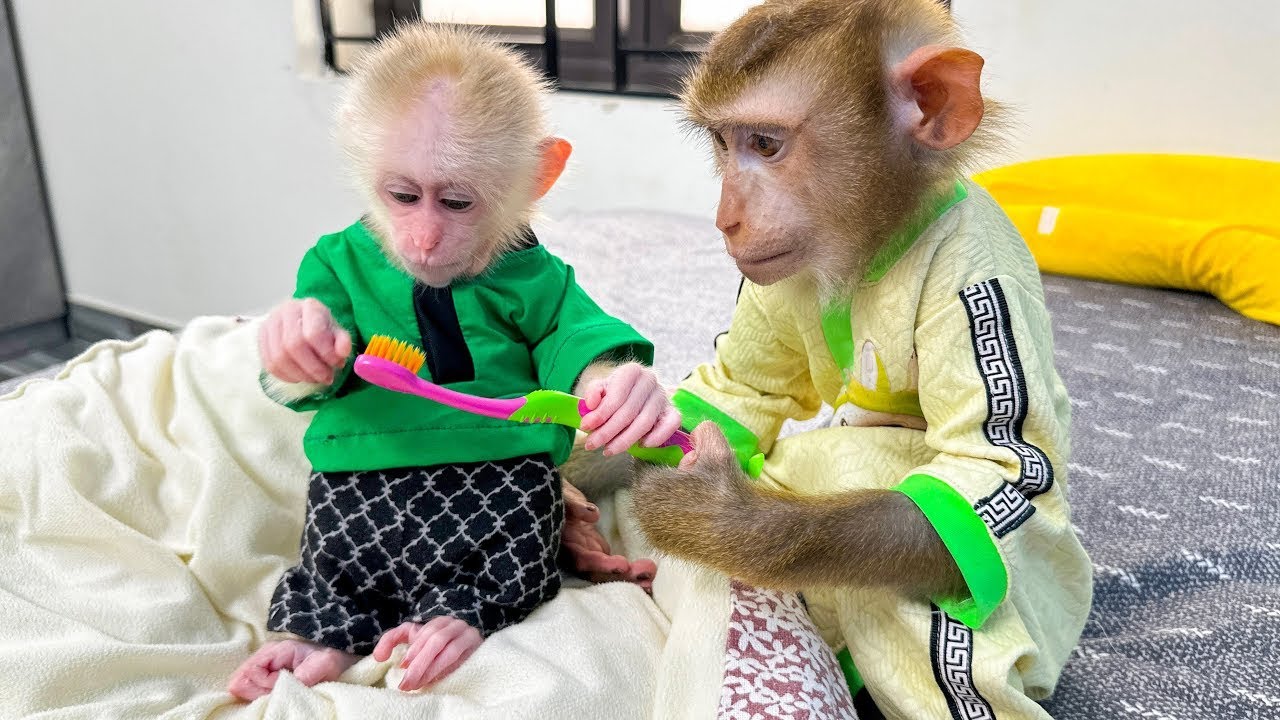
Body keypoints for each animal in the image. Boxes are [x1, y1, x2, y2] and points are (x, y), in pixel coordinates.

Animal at [227, 23, 679, 701]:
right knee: (332, 585)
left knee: (506, 564)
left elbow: (572, 342)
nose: (423, 240)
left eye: (458, 204)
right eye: (403, 196)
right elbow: (316, 349)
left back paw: (445, 626)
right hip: (332, 536)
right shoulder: (329, 263)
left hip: (513, 511)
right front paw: (297, 338)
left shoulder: (547, 280)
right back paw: (308, 646)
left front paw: (630, 395)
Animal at [573, 1, 1094, 717]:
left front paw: (717, 515)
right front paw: (606, 429)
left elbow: (985, 473)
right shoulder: (768, 286)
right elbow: (735, 395)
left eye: (766, 145)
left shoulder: (976, 281)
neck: (878, 247)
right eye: (723, 144)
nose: (726, 218)